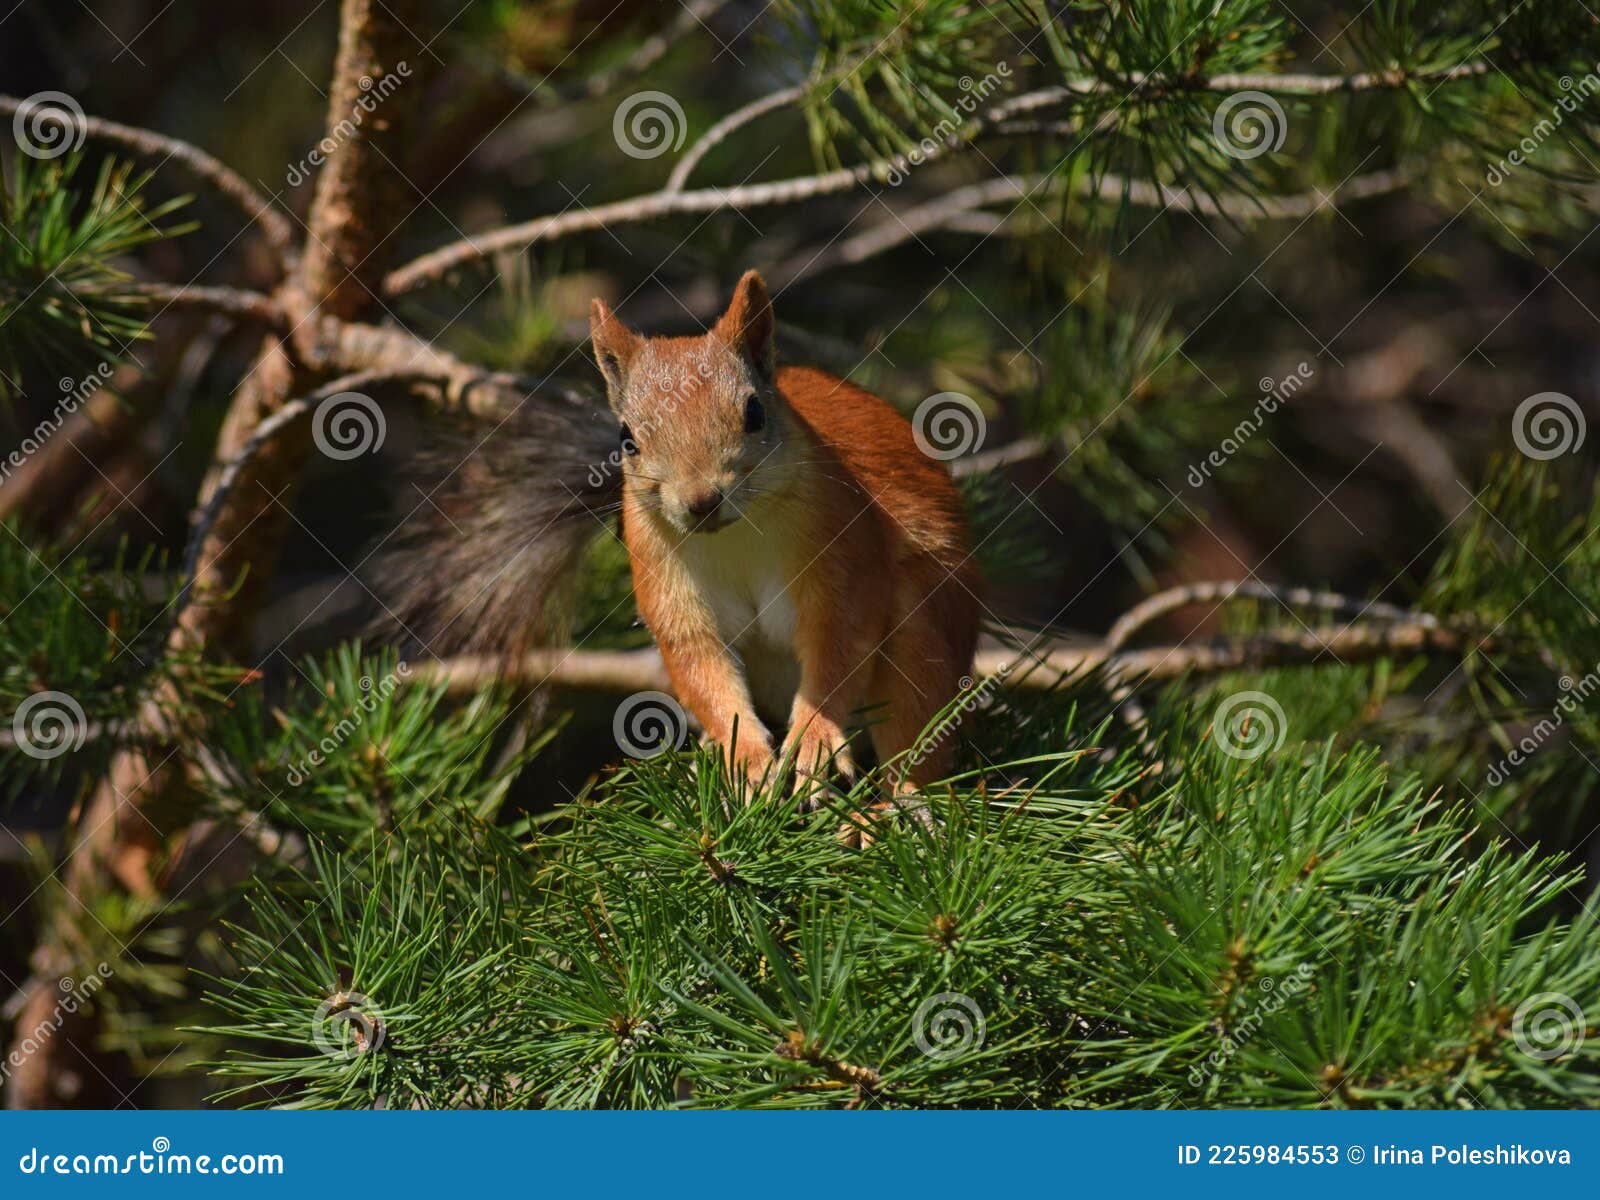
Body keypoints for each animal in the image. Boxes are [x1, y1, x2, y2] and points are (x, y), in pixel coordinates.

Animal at [381, 270, 979, 796]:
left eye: (755, 413)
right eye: (626, 438)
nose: (701, 500)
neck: (734, 536)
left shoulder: (842, 548)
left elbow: (838, 645)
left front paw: (814, 741)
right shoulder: (661, 567)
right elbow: (700, 664)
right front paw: (746, 757)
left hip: (926, 631)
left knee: (915, 727)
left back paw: (901, 805)